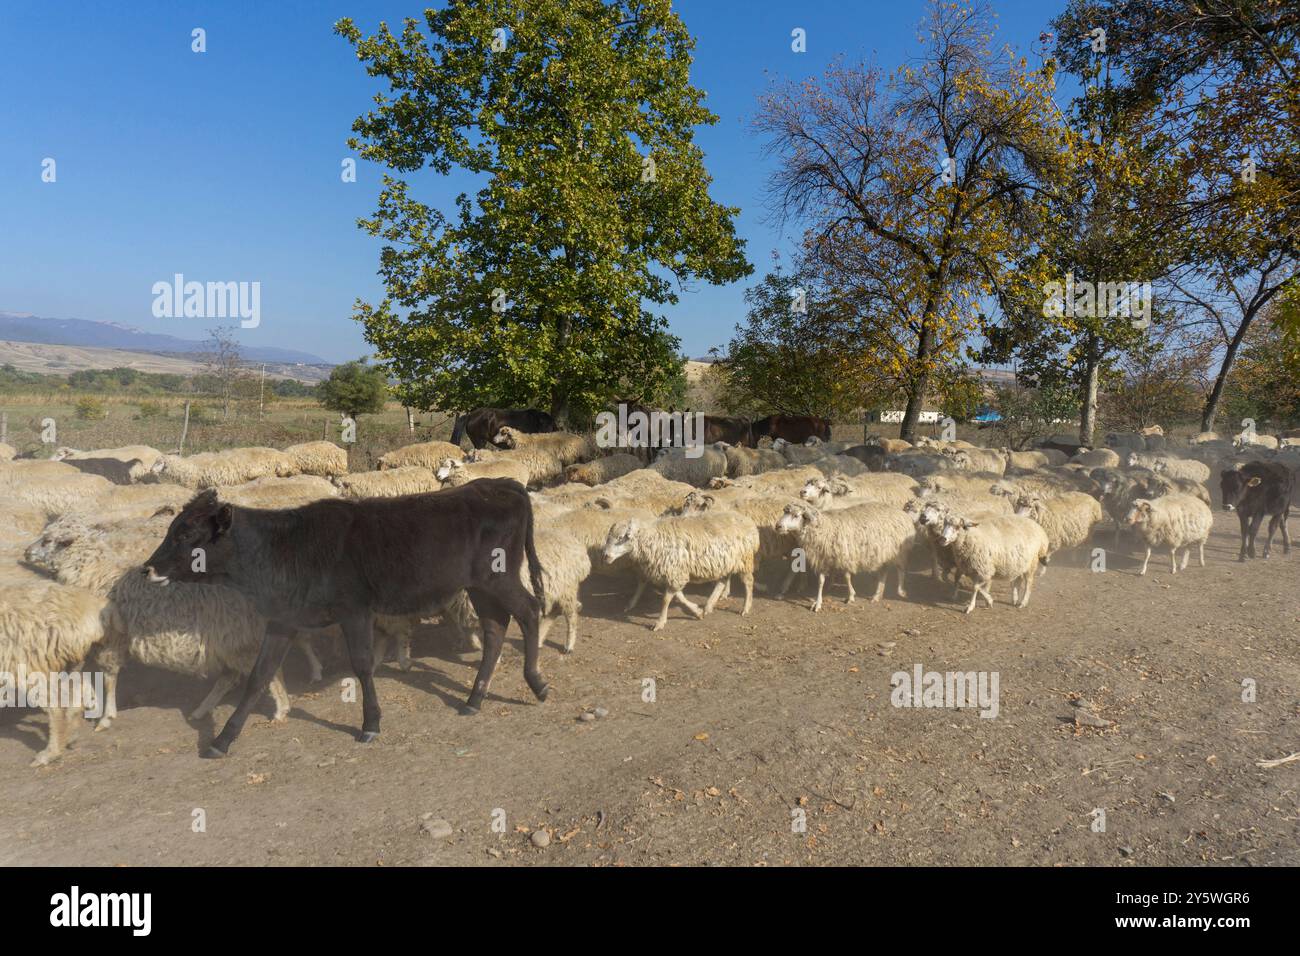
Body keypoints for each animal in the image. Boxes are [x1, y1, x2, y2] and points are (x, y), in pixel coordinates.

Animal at [0, 580, 126, 765]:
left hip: (30, 663)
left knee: (56, 707)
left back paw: (49, 754)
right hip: (69, 659)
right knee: (80, 691)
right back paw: (74, 734)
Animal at [141, 479, 548, 758]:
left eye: (188, 533)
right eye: (172, 528)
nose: (147, 569)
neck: (287, 548)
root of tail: (500, 484)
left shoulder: (355, 611)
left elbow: (363, 665)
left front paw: (370, 723)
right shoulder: (283, 620)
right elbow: (259, 674)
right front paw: (223, 738)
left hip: (498, 578)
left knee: (529, 611)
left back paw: (536, 683)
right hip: (479, 587)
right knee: (495, 630)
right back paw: (474, 698)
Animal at [601, 511, 759, 630]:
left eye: (621, 537)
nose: (605, 556)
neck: (652, 537)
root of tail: (749, 522)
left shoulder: (675, 572)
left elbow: (666, 599)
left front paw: (659, 623)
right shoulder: (673, 572)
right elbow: (679, 596)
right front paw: (697, 611)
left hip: (744, 560)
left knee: (748, 582)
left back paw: (745, 607)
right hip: (724, 562)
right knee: (722, 581)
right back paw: (708, 606)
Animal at [776, 500, 917, 611]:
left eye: (796, 515)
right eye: (784, 512)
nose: (778, 526)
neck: (825, 528)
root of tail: (902, 513)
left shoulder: (845, 556)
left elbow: (847, 577)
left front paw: (850, 597)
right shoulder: (822, 559)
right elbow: (821, 581)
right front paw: (818, 603)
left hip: (899, 551)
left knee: (901, 570)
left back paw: (900, 591)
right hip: (884, 554)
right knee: (884, 572)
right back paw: (877, 595)